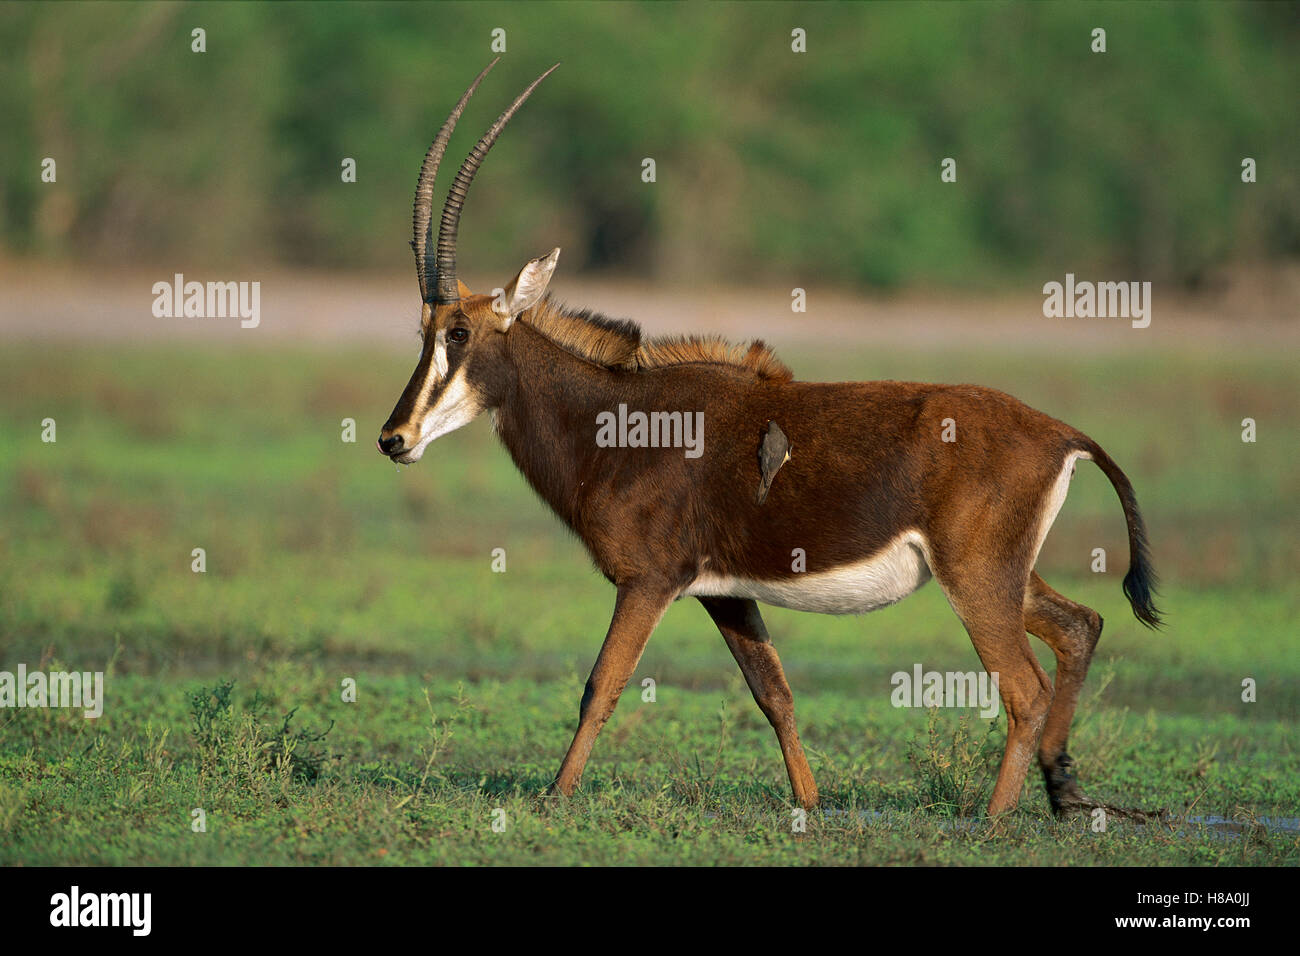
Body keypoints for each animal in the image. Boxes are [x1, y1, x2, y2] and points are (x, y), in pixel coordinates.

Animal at [378, 61, 1161, 817]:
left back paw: (994, 821)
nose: (394, 437)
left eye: (460, 332)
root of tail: (1060, 431)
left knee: (1025, 687)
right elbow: (774, 693)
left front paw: (554, 799)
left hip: (976, 578)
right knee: (1081, 625)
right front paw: (810, 804)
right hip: (1000, 575)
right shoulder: (723, 593)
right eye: (422, 330)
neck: (618, 416)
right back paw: (1062, 790)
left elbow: (601, 685)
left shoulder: (649, 580)